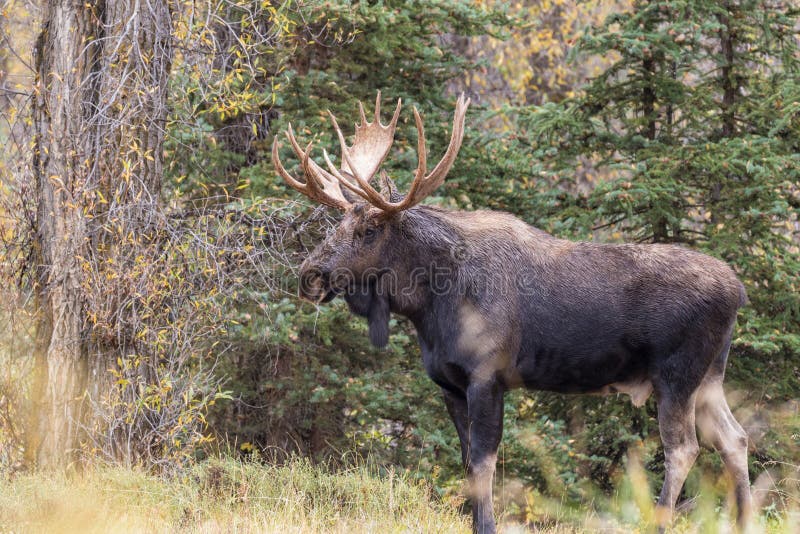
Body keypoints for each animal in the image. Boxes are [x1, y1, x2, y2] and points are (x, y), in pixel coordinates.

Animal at [272, 93, 752, 533]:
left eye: (369, 229)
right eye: (337, 225)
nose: (310, 274)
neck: (431, 310)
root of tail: (738, 289)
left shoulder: (488, 375)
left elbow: (484, 465)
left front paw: (487, 525)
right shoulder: (448, 384)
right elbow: (466, 462)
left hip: (677, 373)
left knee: (684, 448)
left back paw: (661, 521)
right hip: (710, 376)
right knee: (735, 437)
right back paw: (747, 519)